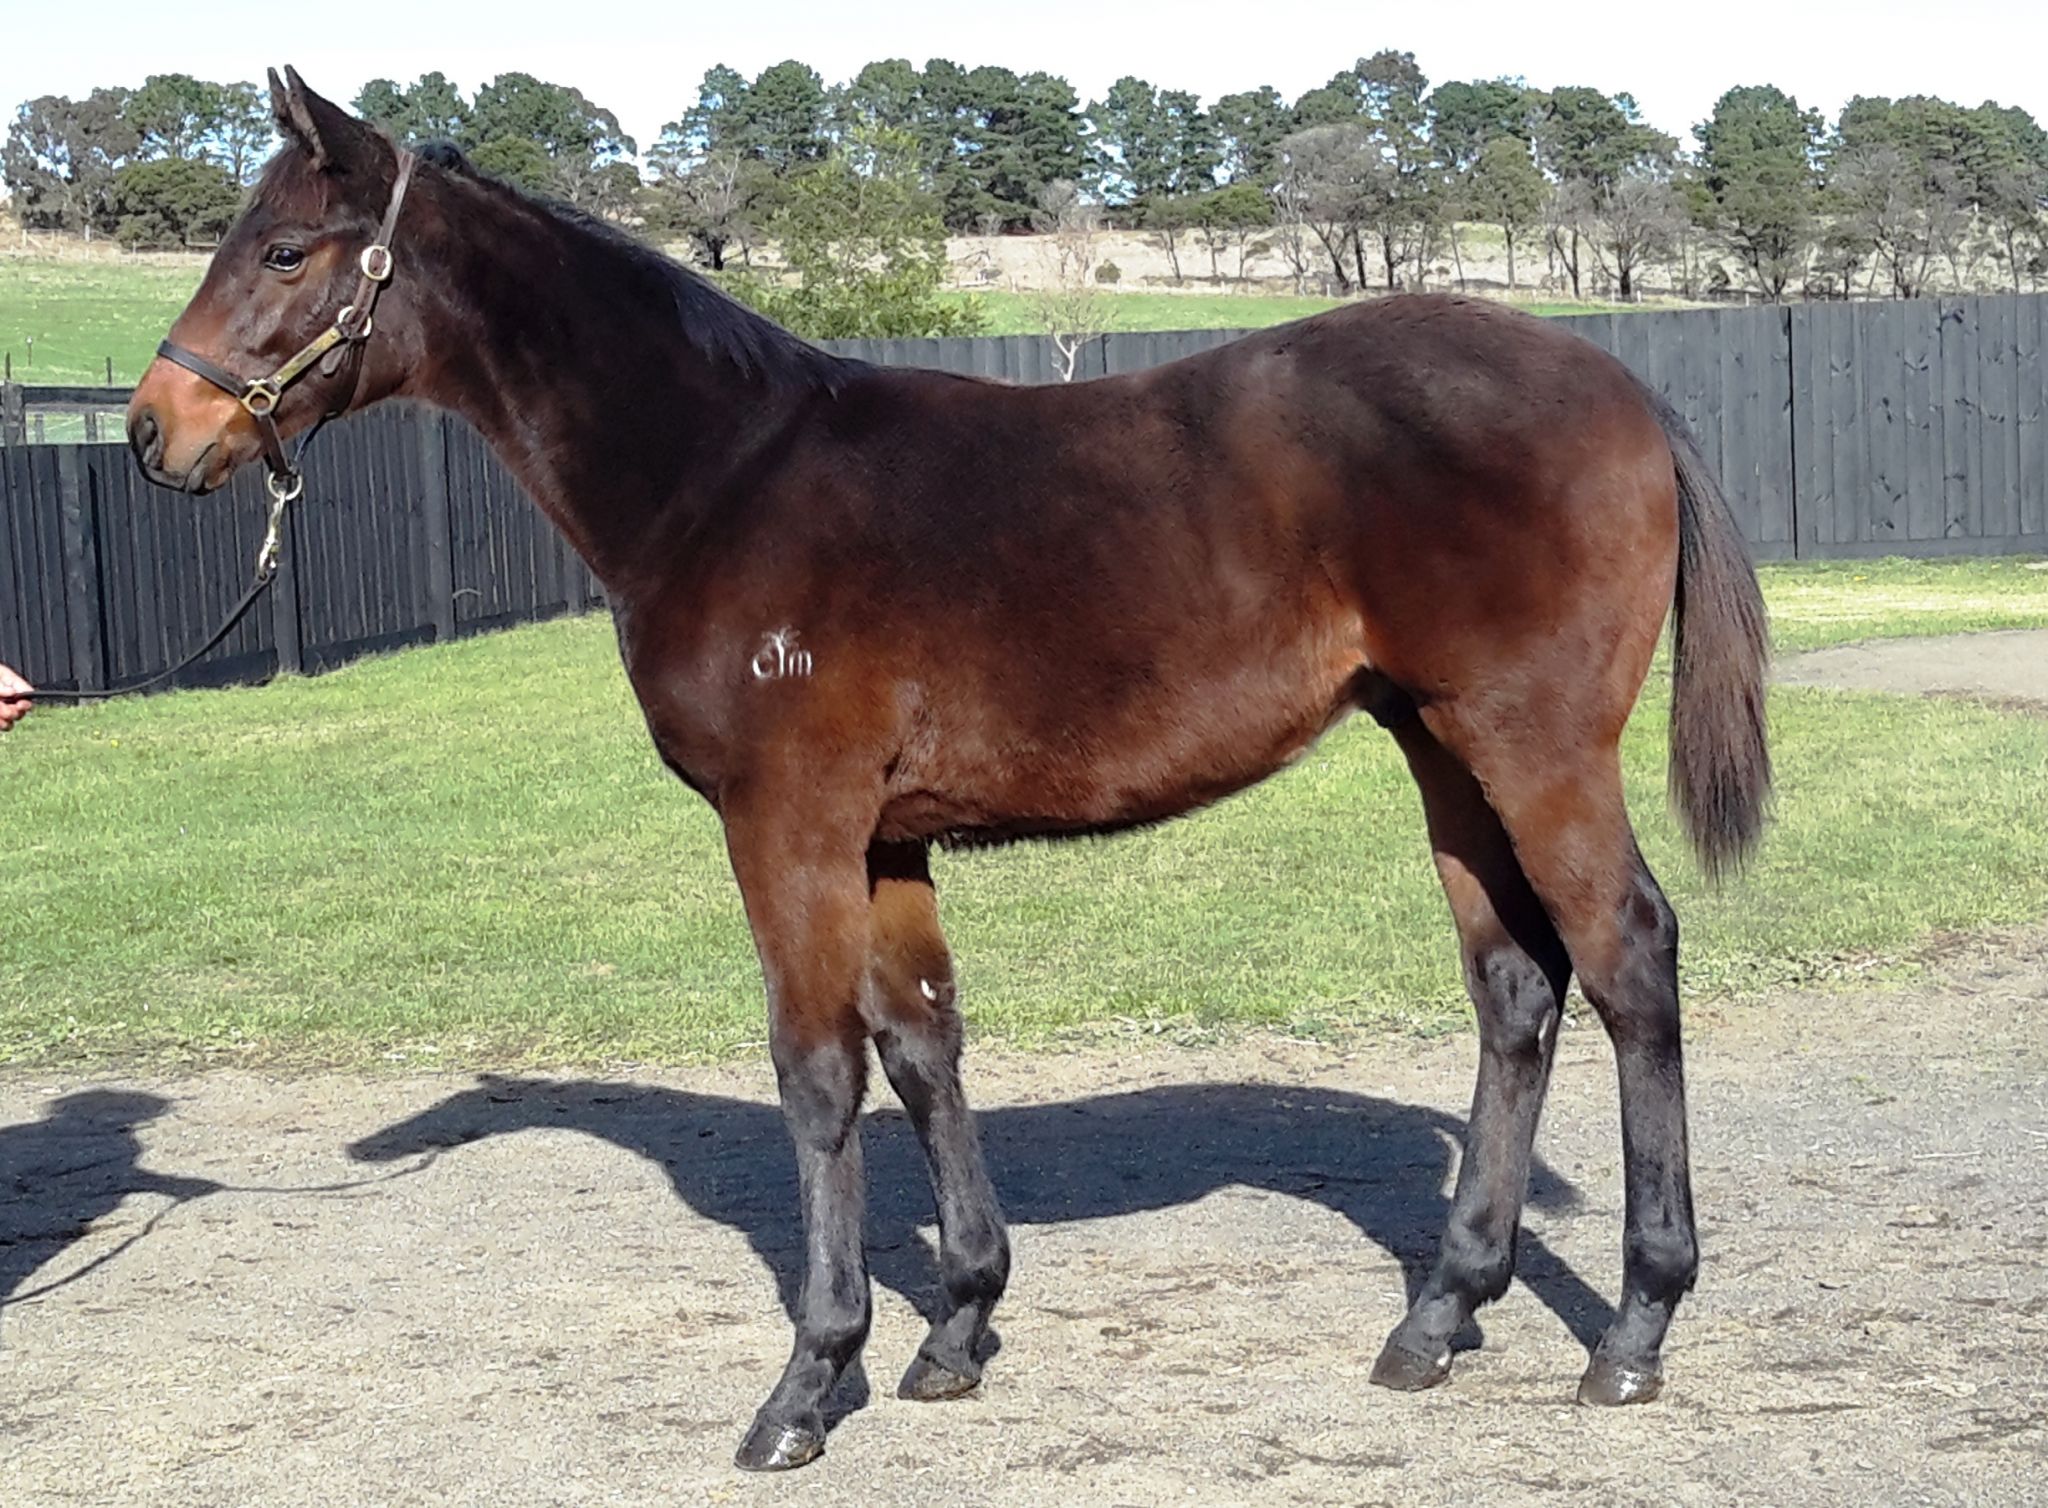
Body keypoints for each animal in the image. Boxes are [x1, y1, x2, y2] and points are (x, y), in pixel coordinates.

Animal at [129, 69, 1770, 1472]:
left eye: (284, 248)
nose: (158, 429)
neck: (722, 476)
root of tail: (1622, 392)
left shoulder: (787, 823)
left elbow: (815, 1072)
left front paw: (809, 1380)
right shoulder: (882, 839)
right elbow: (921, 1045)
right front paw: (958, 1325)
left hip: (1532, 745)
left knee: (1629, 957)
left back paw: (1632, 1328)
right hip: (1438, 748)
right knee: (1515, 987)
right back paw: (1440, 1313)